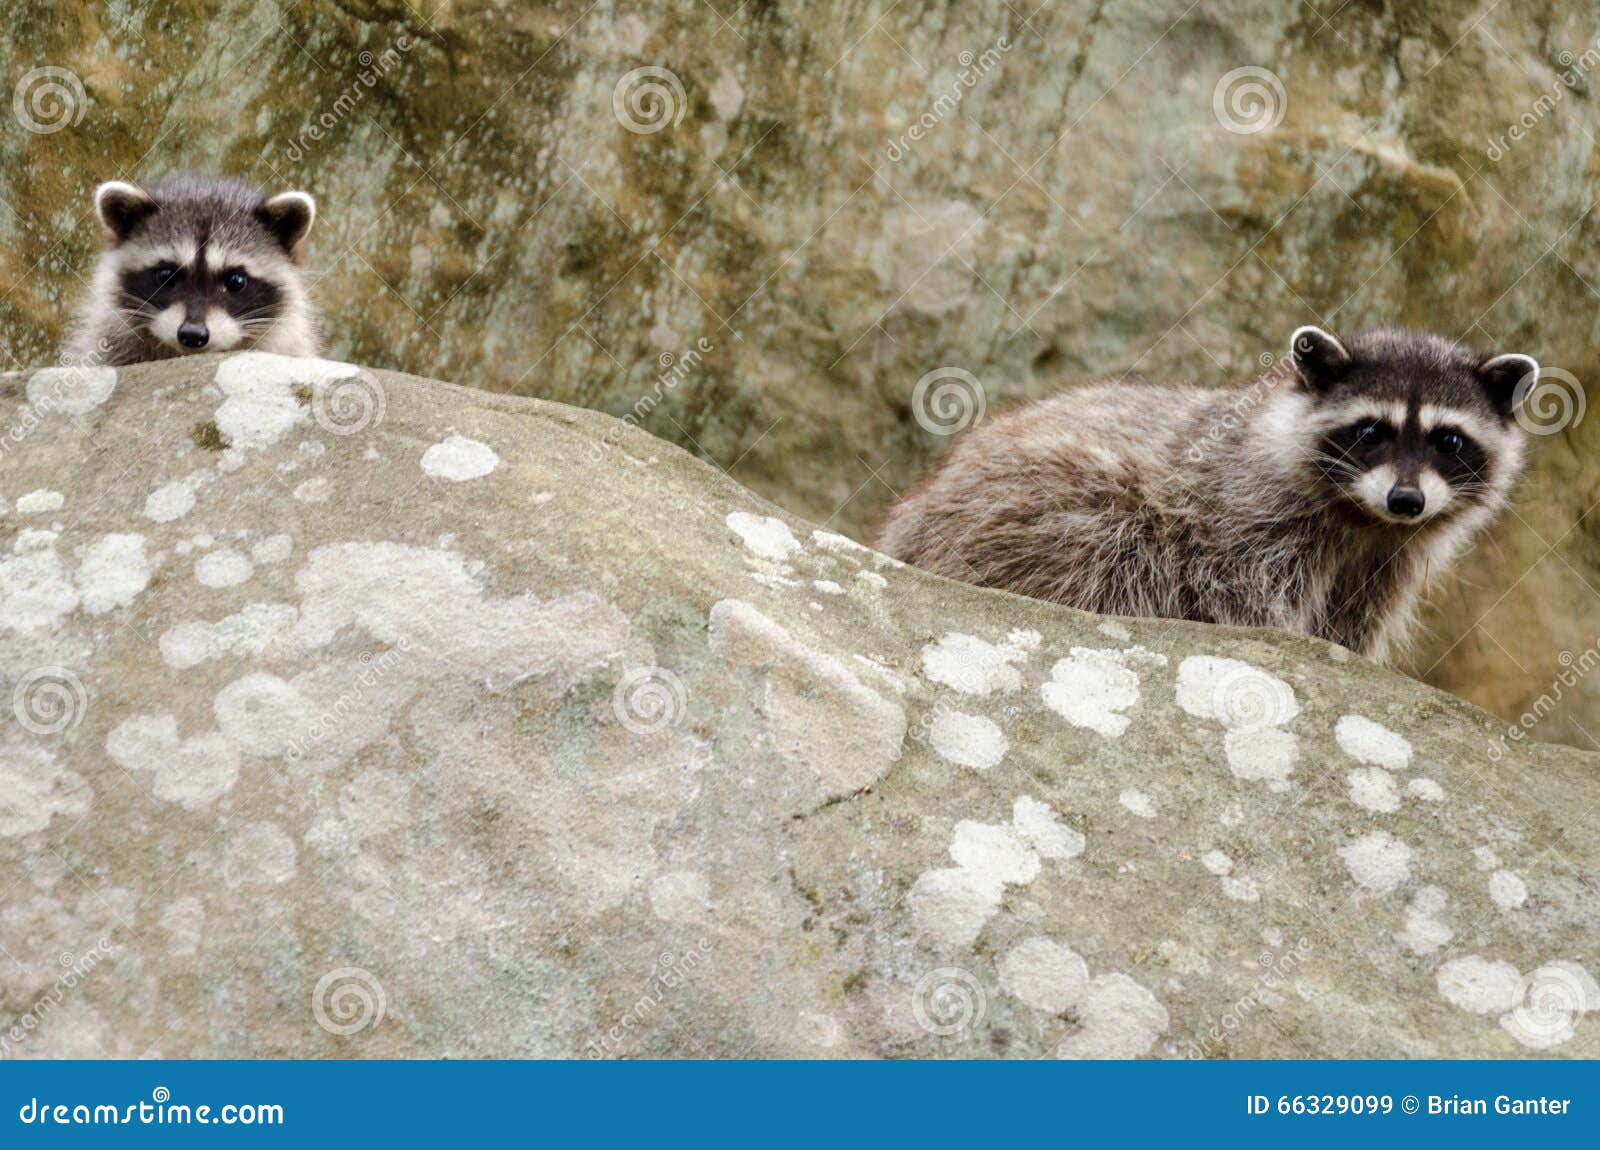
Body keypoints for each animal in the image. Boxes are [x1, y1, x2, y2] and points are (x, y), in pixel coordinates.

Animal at [877, 327, 1537, 665]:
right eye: (1371, 431)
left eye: (1448, 440)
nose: (1406, 500)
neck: (1363, 518)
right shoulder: (1243, 508)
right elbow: (1241, 590)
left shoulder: (1386, 559)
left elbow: (1354, 617)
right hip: (1031, 503)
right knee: (1110, 548)